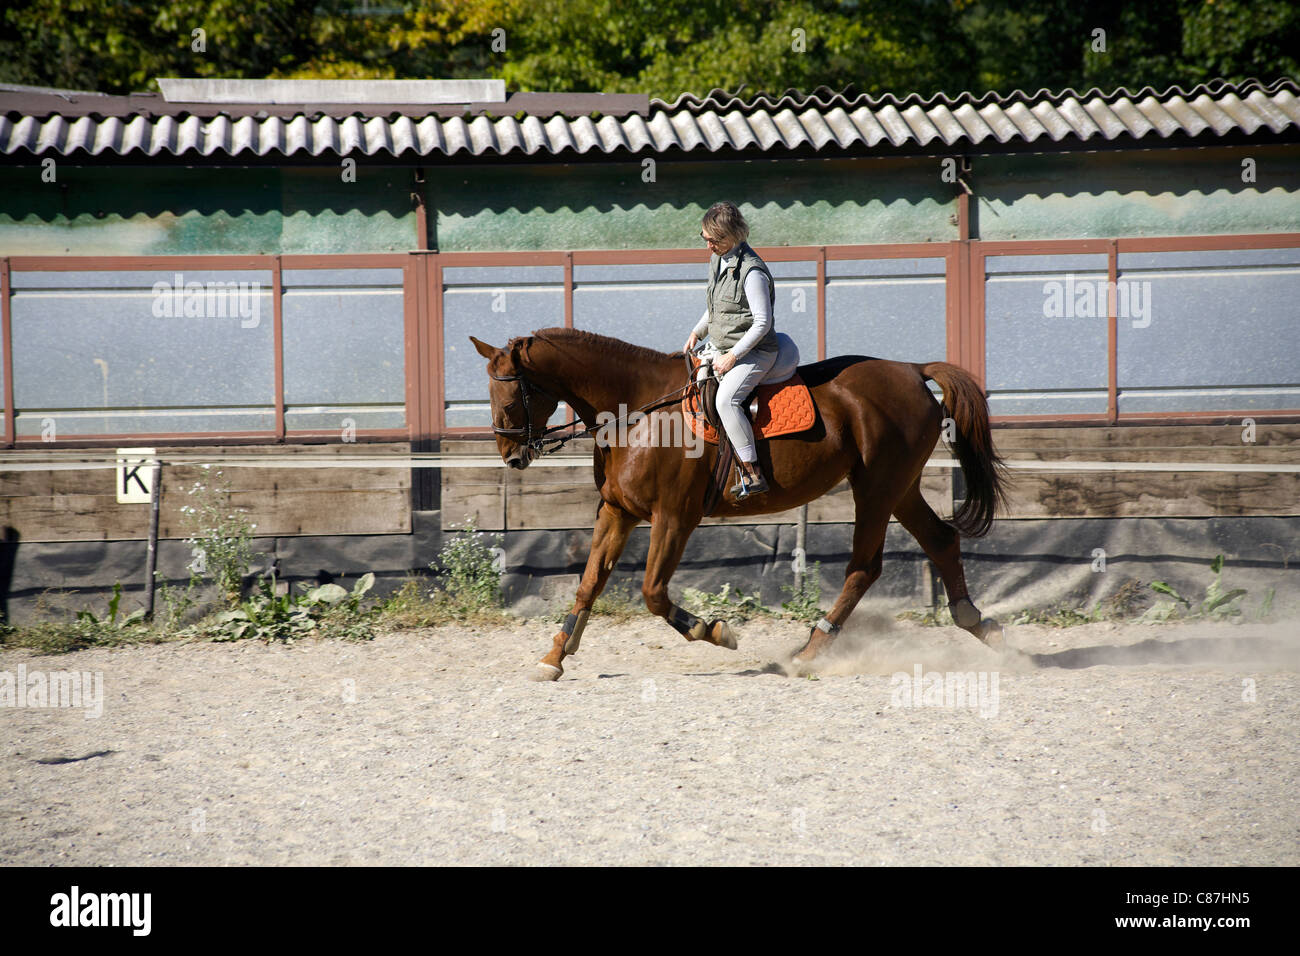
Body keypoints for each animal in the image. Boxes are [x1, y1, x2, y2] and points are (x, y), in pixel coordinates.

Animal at [469, 328, 1009, 680]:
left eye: (510, 397)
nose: (512, 456)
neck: (637, 411)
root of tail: (912, 371)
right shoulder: (617, 512)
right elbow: (587, 584)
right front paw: (555, 657)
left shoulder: (674, 518)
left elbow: (653, 593)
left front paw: (713, 630)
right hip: (899, 487)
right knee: (940, 540)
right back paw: (978, 624)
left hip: (876, 488)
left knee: (865, 566)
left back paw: (811, 650)